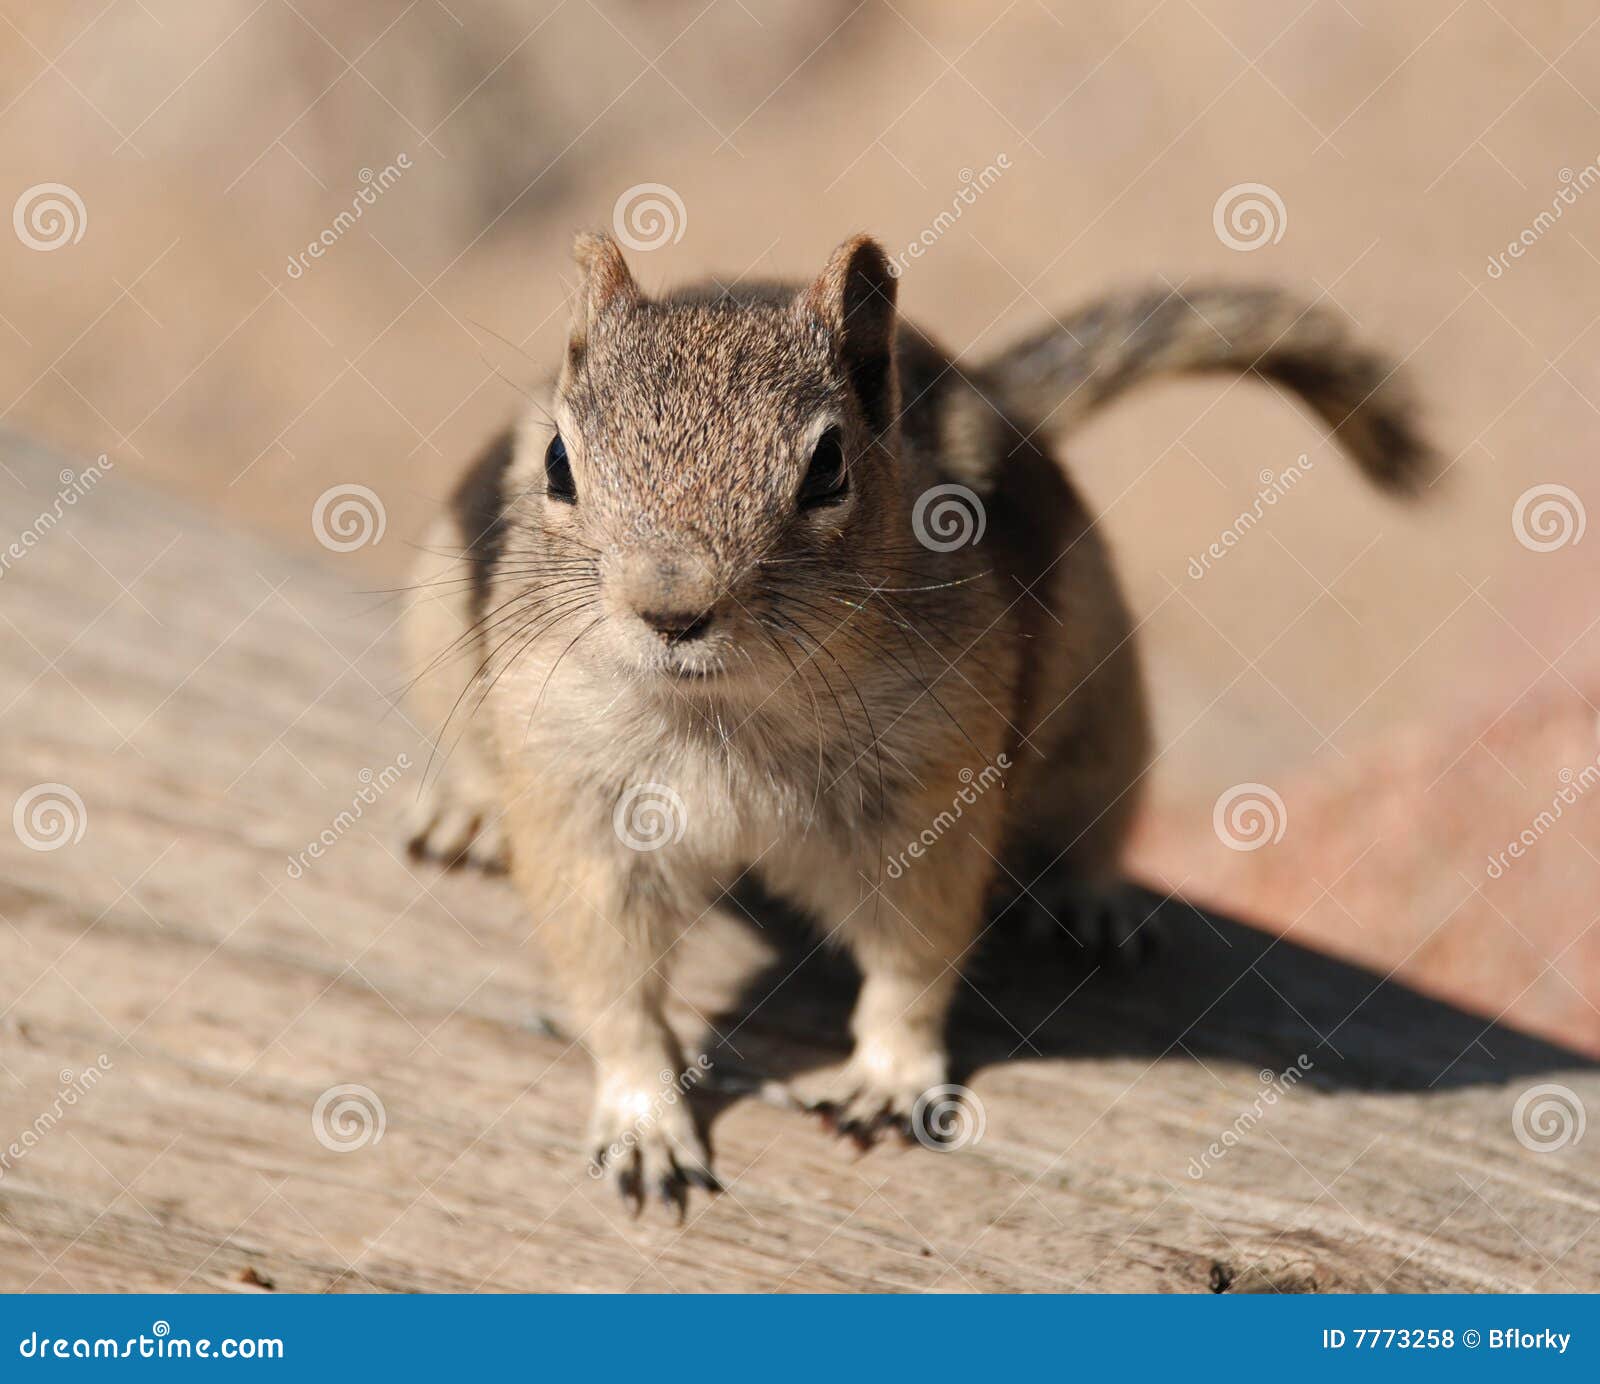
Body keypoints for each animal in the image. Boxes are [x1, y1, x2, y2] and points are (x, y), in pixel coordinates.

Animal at [403, 231, 1432, 1214]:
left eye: (828, 466)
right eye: (556, 462)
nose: (674, 610)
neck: (722, 710)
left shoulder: (926, 796)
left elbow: (914, 954)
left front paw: (888, 1081)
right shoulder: (580, 804)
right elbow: (611, 984)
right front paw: (643, 1122)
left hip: (1106, 709)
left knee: (1093, 813)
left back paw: (1088, 899)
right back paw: (467, 816)